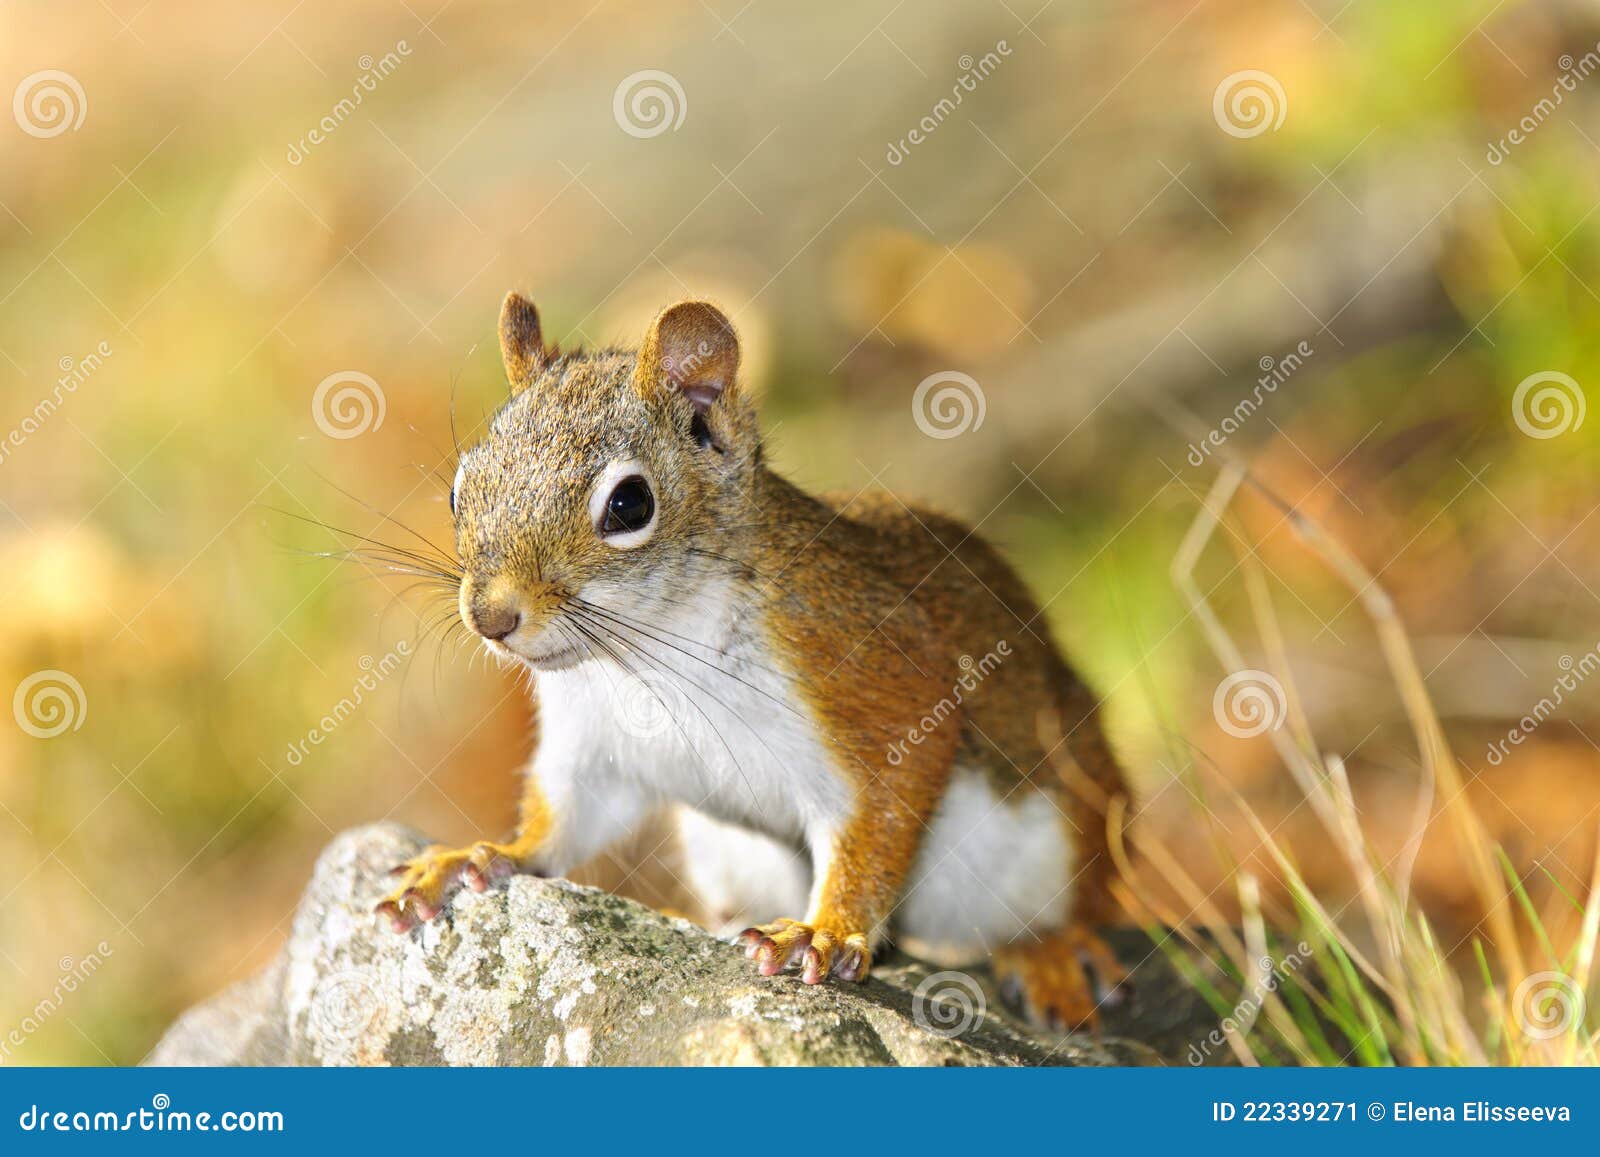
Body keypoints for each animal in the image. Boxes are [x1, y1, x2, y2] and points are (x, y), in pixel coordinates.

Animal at [375, 291, 1132, 1029]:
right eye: (460, 487)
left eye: (630, 504)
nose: (491, 616)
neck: (643, 652)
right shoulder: (593, 746)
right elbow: (563, 822)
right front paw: (482, 855)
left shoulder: (871, 673)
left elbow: (882, 810)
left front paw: (824, 931)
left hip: (1059, 831)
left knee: (1075, 902)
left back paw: (1049, 951)